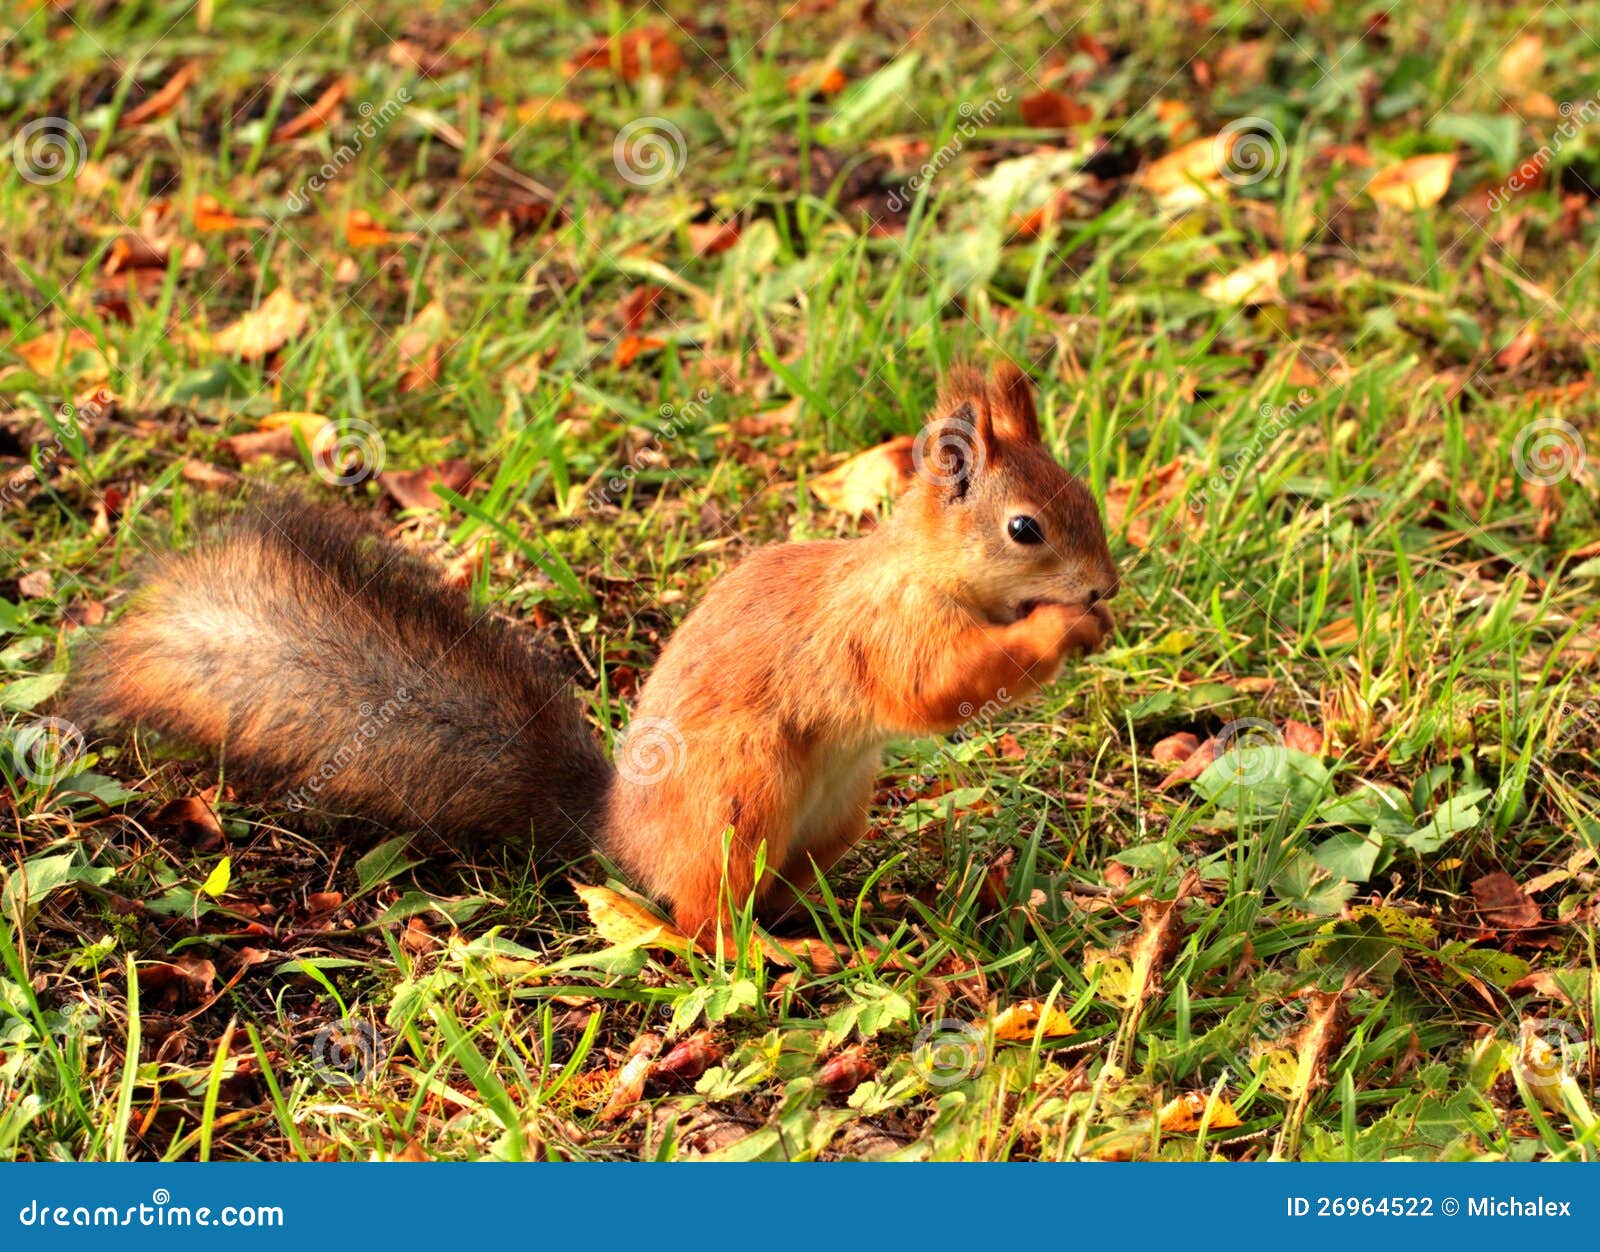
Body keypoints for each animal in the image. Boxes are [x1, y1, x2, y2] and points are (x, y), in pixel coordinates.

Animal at [74, 364, 1118, 944]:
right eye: (1025, 528)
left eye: (1086, 497)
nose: (1106, 588)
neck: (919, 569)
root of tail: (617, 832)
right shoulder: (883, 631)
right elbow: (931, 691)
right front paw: (1060, 631)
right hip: (742, 791)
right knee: (705, 923)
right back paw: (778, 950)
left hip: (834, 812)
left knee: (779, 888)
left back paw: (837, 916)